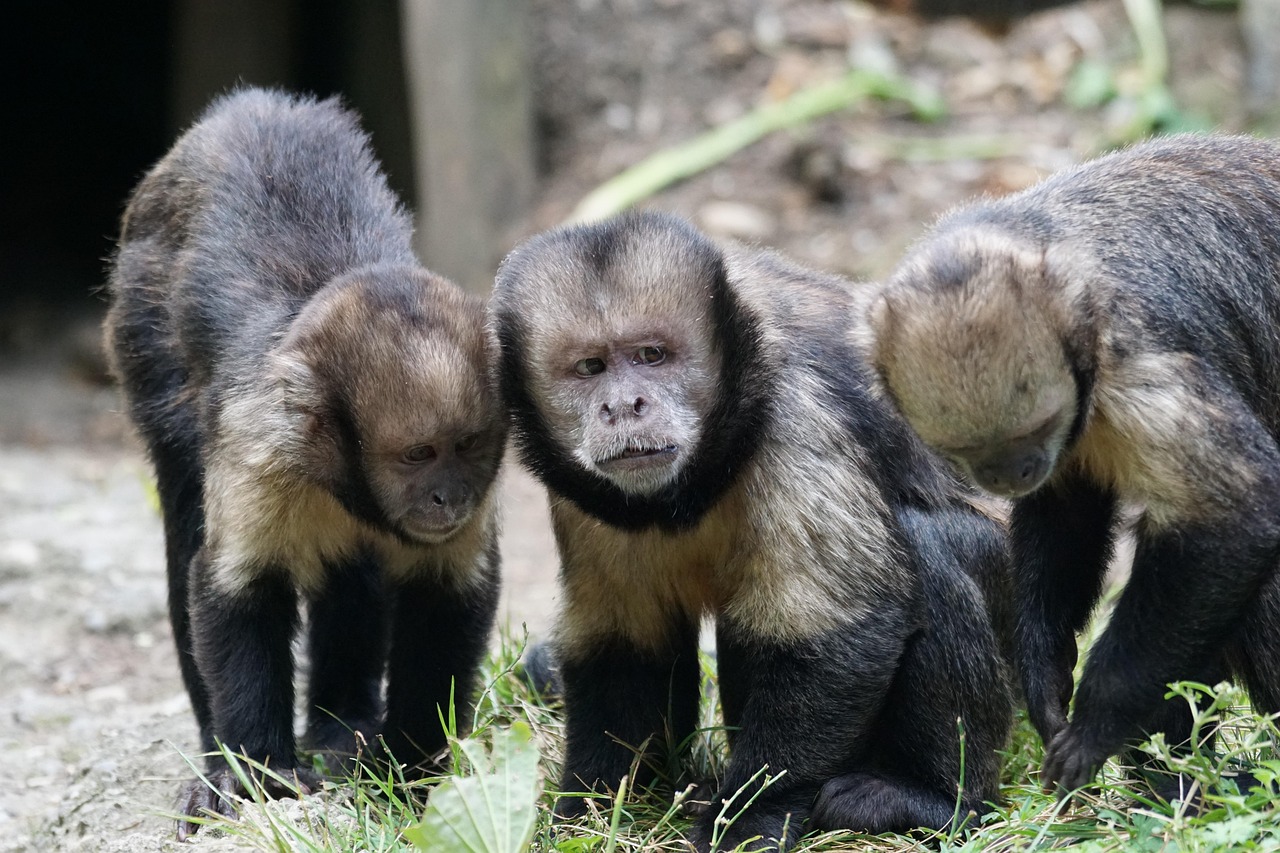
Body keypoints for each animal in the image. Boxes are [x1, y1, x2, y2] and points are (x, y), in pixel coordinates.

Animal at [103, 88, 505, 838]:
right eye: (418, 455)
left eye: (467, 447)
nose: (449, 497)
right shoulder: (260, 438)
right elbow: (233, 588)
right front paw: (257, 773)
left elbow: (448, 591)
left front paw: (410, 770)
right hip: (138, 315)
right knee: (185, 511)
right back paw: (222, 754)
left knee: (354, 568)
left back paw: (342, 728)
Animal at [491, 211, 1014, 851]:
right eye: (590, 368)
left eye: (651, 355)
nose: (625, 405)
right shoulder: (583, 493)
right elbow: (623, 644)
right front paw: (590, 812)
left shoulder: (798, 410)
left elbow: (842, 634)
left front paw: (746, 819)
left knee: (930, 553)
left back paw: (938, 799)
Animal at [867, 133, 1280, 797]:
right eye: (966, 451)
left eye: (1032, 429)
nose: (1011, 473)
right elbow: (1067, 515)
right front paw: (1046, 684)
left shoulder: (1131, 353)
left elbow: (1245, 511)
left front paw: (1095, 724)